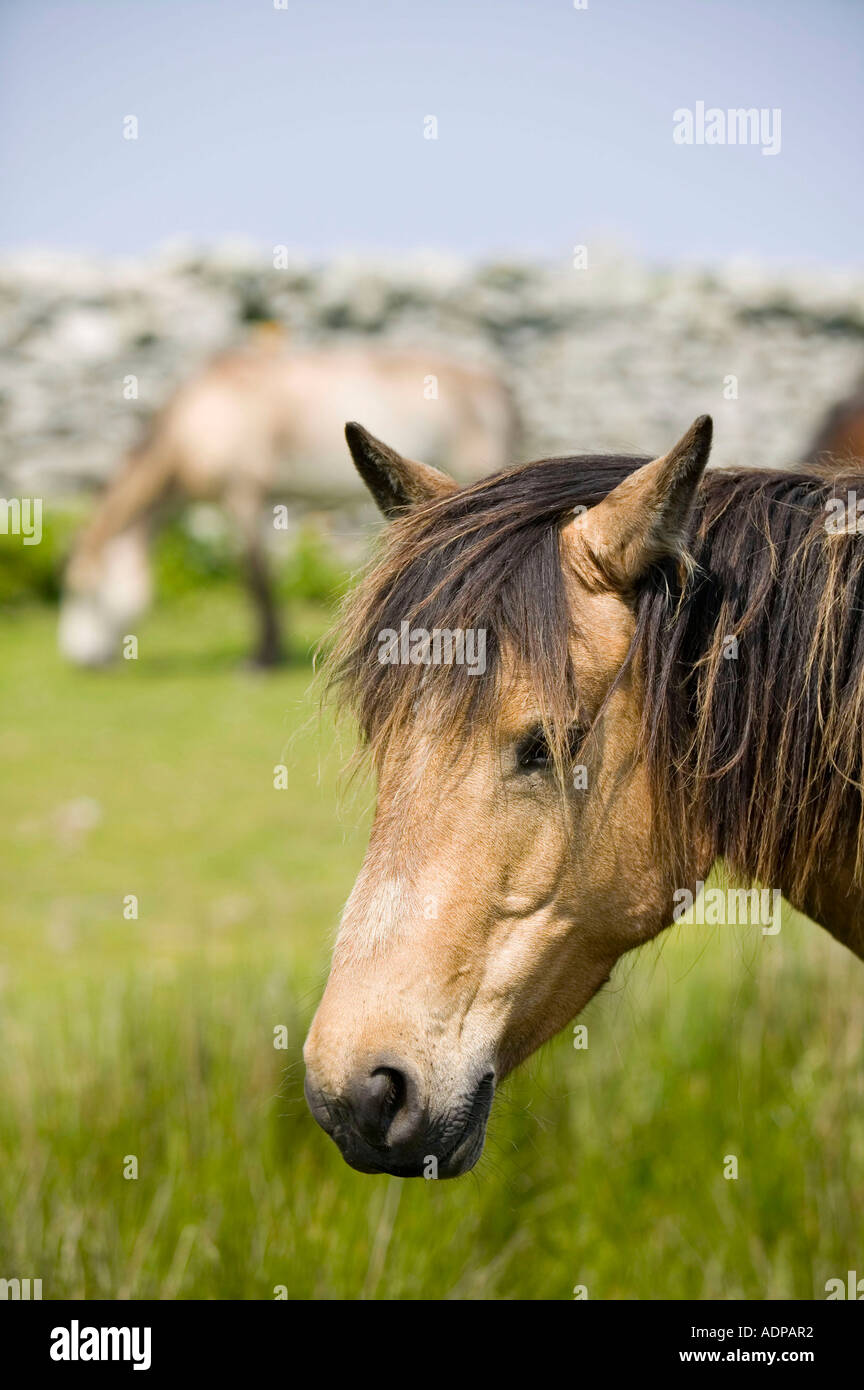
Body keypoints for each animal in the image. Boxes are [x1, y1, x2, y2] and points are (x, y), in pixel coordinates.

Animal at [58, 339, 519, 667]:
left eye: (85, 592)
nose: (80, 660)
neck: (200, 415)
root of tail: (494, 382)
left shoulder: (243, 495)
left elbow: (256, 578)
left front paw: (263, 658)